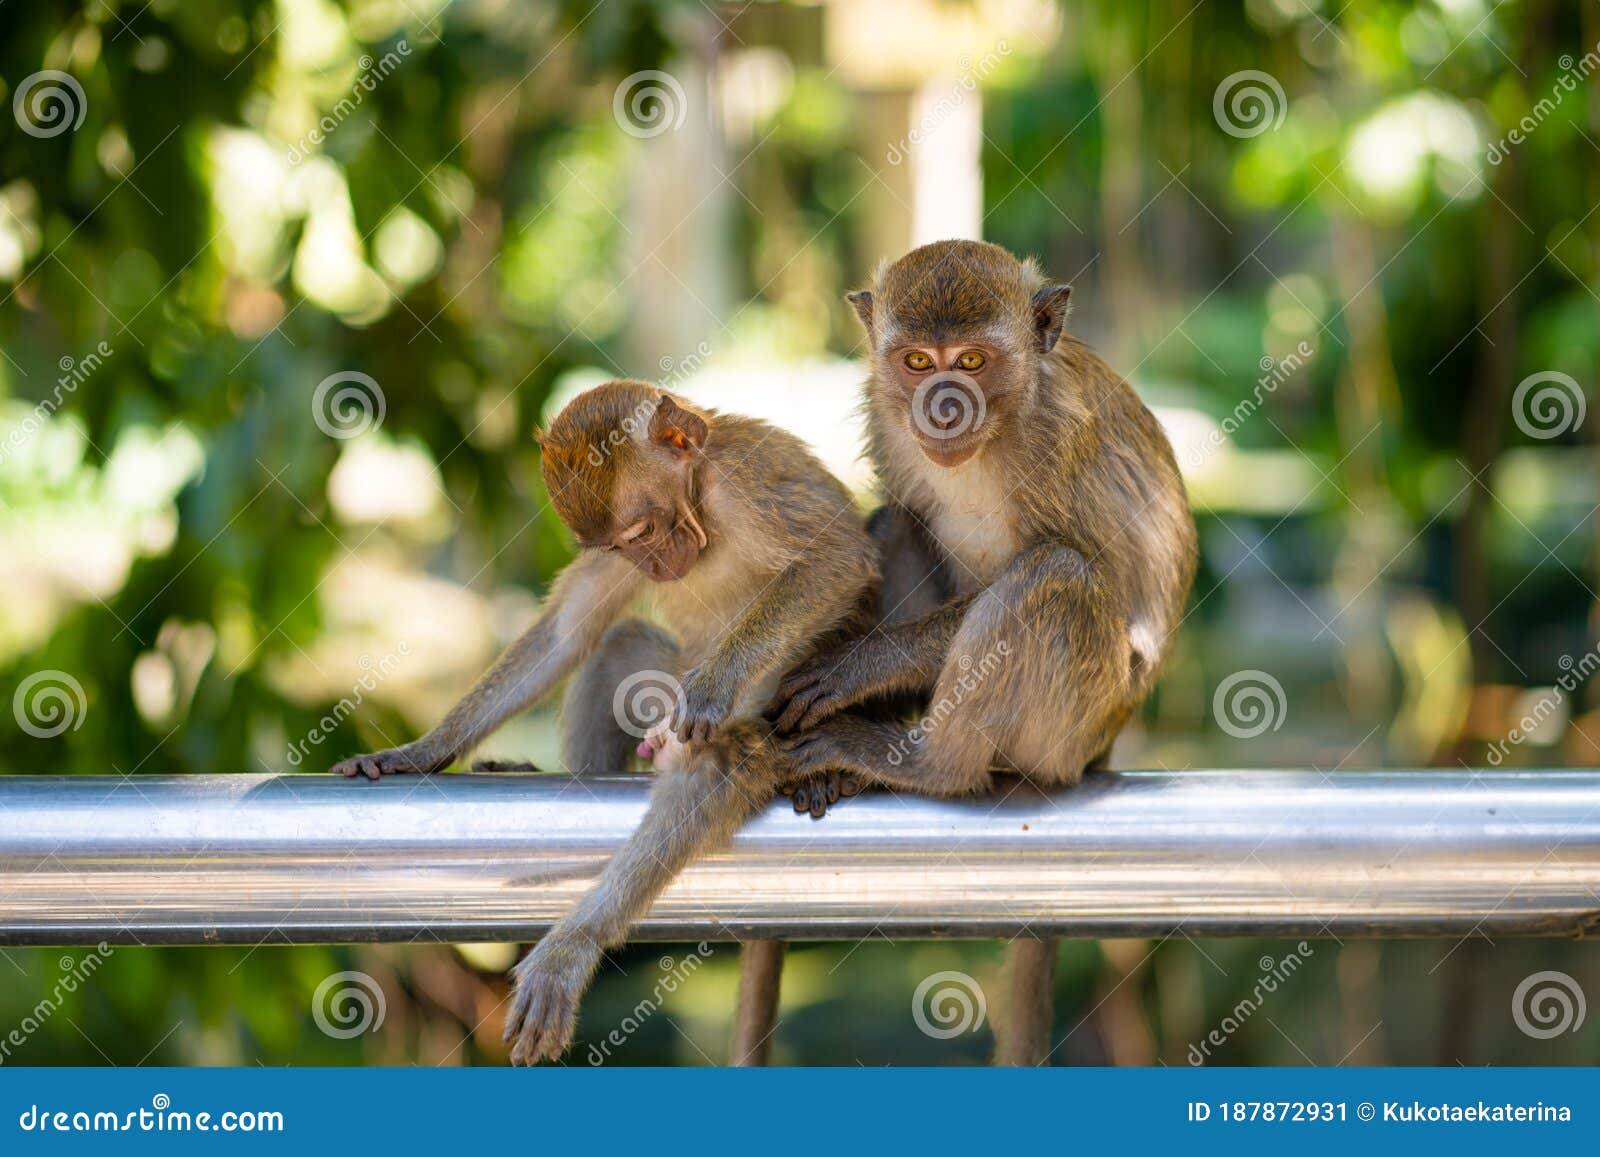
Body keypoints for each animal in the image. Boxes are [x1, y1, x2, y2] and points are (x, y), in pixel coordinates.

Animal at [329, 380, 879, 1065]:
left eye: (643, 528)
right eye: (621, 544)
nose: (655, 566)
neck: (704, 499)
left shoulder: (748, 480)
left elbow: (835, 559)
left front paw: (715, 689)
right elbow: (568, 636)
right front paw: (423, 750)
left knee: (712, 770)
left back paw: (575, 943)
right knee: (620, 647)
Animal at [769, 239, 1199, 1065]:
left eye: (970, 360)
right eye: (916, 361)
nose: (941, 406)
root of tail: (1107, 741)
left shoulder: (1061, 448)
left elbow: (1088, 569)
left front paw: (861, 664)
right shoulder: (887, 420)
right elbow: (905, 517)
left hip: (1073, 724)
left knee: (1055, 576)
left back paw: (922, 762)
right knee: (899, 523)